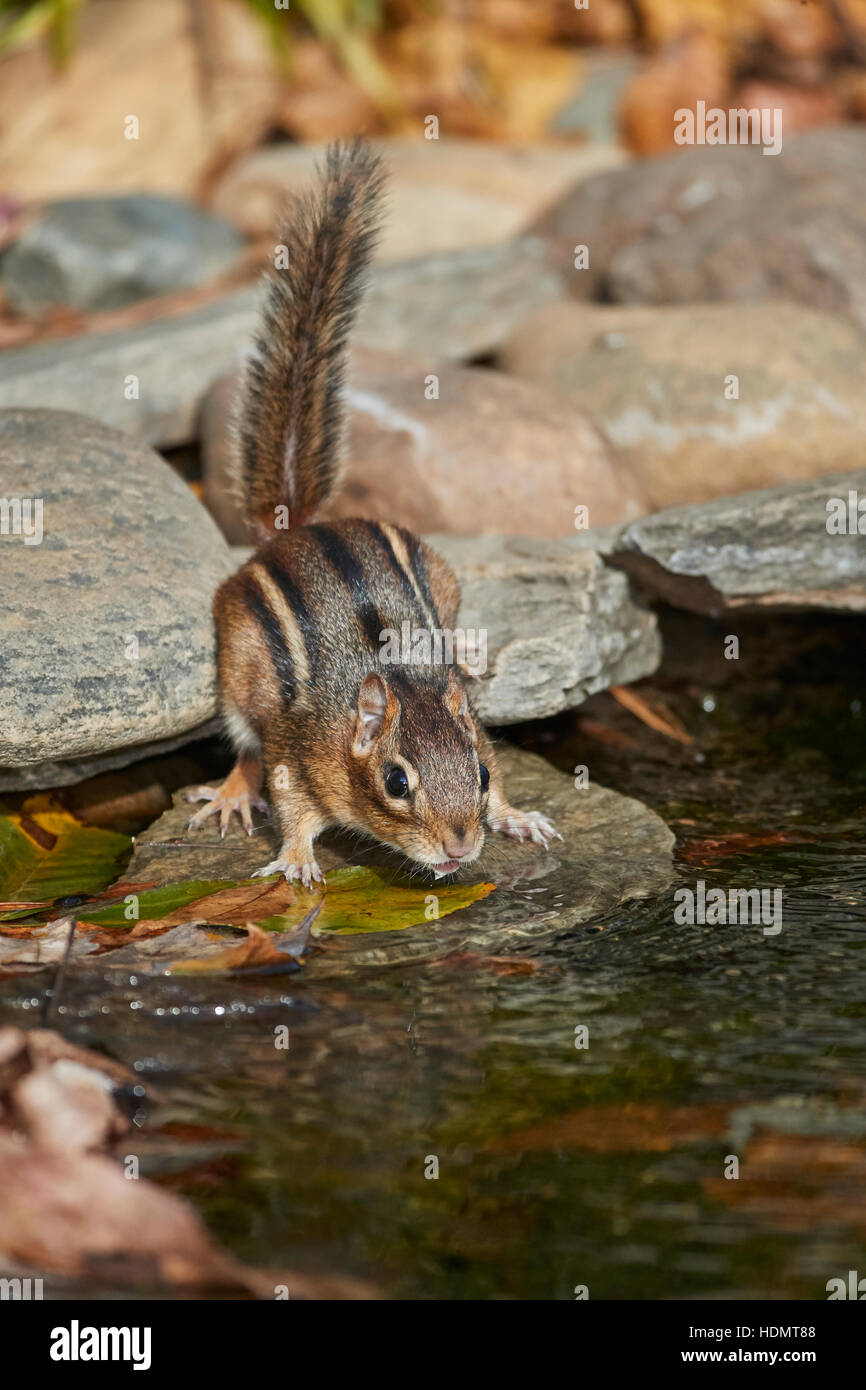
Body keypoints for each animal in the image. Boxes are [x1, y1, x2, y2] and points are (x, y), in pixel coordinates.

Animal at [187, 140, 559, 887]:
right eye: (396, 782)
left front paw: (516, 816)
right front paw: (297, 858)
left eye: (478, 777)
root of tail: (299, 528)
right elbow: (289, 798)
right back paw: (233, 795)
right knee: (243, 746)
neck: (399, 680)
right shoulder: (296, 750)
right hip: (239, 673)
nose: (460, 848)